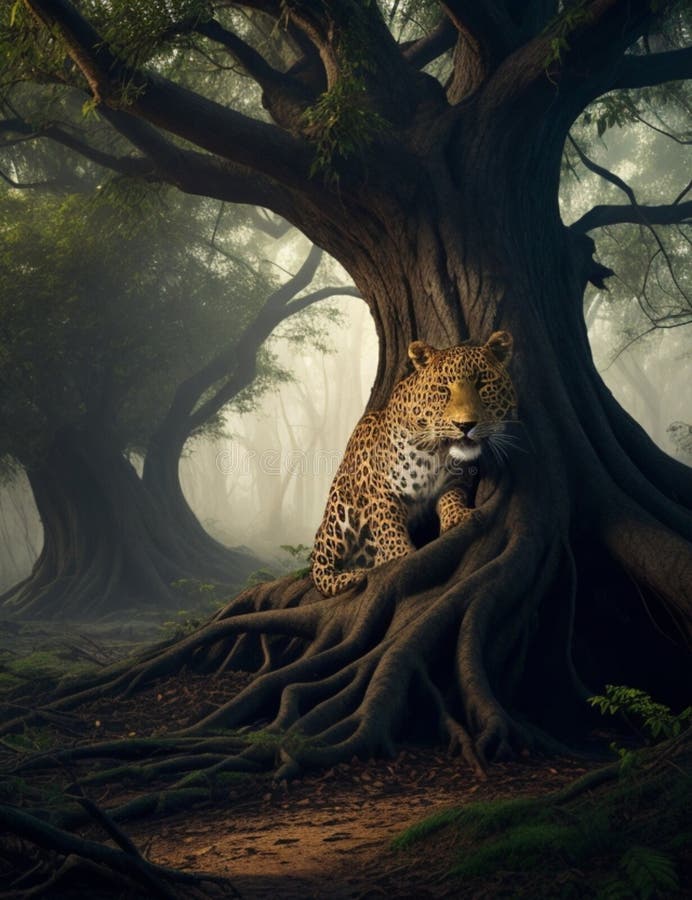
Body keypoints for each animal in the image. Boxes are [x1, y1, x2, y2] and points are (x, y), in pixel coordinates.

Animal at [311, 331, 517, 596]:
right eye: (443, 389)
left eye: (482, 384)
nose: (465, 425)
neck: (436, 451)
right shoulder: (381, 491)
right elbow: (389, 530)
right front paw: (401, 557)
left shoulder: (454, 480)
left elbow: (451, 498)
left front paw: (456, 517)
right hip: (338, 513)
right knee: (321, 569)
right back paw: (353, 575)